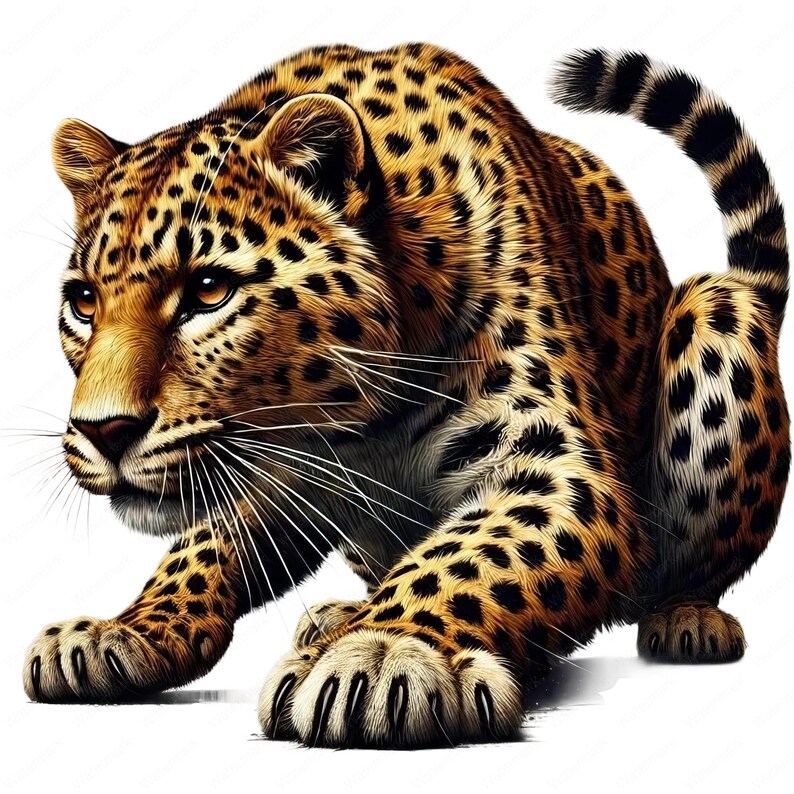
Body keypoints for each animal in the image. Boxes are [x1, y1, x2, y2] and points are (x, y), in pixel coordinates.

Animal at [22, 44, 789, 749]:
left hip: (717, 312)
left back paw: (689, 619)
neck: (353, 423)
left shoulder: (556, 466)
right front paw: (121, 633)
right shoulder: (267, 474)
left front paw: (383, 654)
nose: (104, 431)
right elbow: (198, 553)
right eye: (83, 302)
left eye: (210, 290)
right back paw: (332, 616)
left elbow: (468, 557)